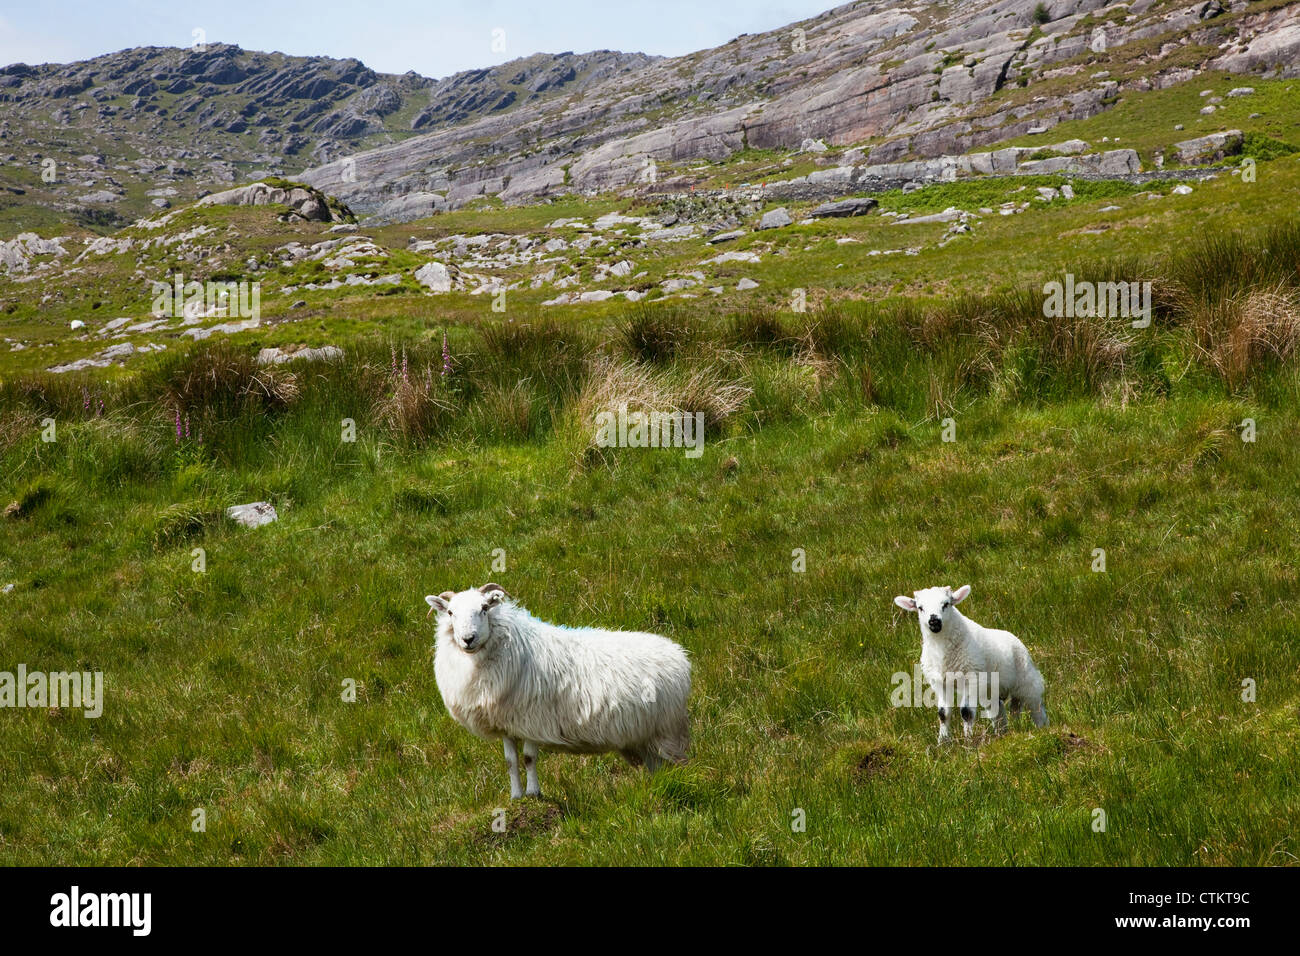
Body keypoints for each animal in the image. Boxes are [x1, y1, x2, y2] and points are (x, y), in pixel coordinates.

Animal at [424, 583, 691, 798]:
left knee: (678, 762)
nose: (468, 639)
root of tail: (679, 654)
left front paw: (534, 793)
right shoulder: (506, 723)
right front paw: (516, 796)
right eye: (451, 613)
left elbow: (529, 758)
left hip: (668, 731)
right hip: (644, 738)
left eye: (484, 608)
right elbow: (510, 762)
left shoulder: (531, 718)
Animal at [893, 584, 1048, 742]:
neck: (942, 650)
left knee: (1036, 706)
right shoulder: (939, 683)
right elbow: (943, 713)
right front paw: (942, 742)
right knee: (998, 712)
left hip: (1026, 679)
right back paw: (1001, 734)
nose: (934, 622)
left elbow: (966, 712)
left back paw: (1043, 729)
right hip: (990, 689)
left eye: (946, 604)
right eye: (920, 608)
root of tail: (1015, 639)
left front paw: (968, 741)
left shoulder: (972, 677)